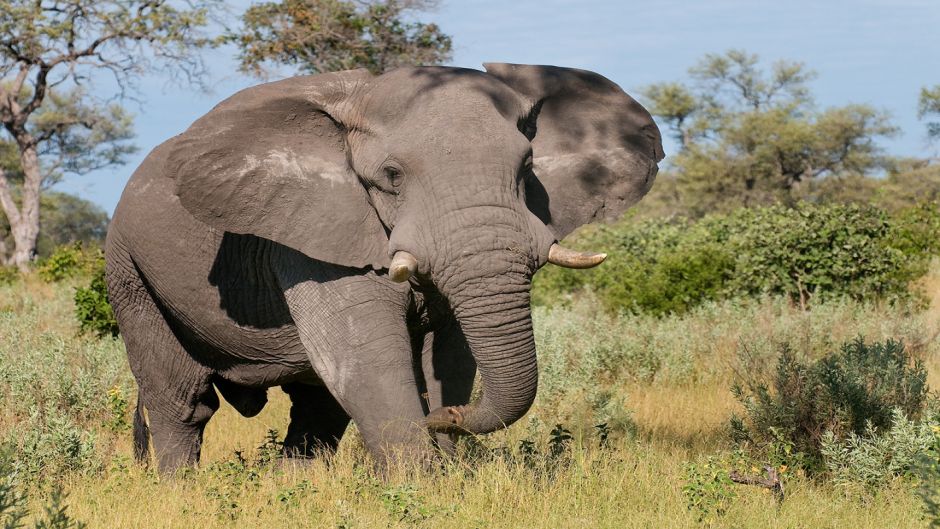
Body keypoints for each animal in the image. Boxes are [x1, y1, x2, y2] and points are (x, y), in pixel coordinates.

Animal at [104, 63, 664, 473]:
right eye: (391, 176)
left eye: (527, 169)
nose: (440, 420)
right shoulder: (313, 233)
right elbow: (368, 358)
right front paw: (421, 490)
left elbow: (452, 354)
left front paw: (449, 466)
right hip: (130, 273)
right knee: (181, 399)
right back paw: (181, 493)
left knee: (316, 406)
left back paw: (296, 488)